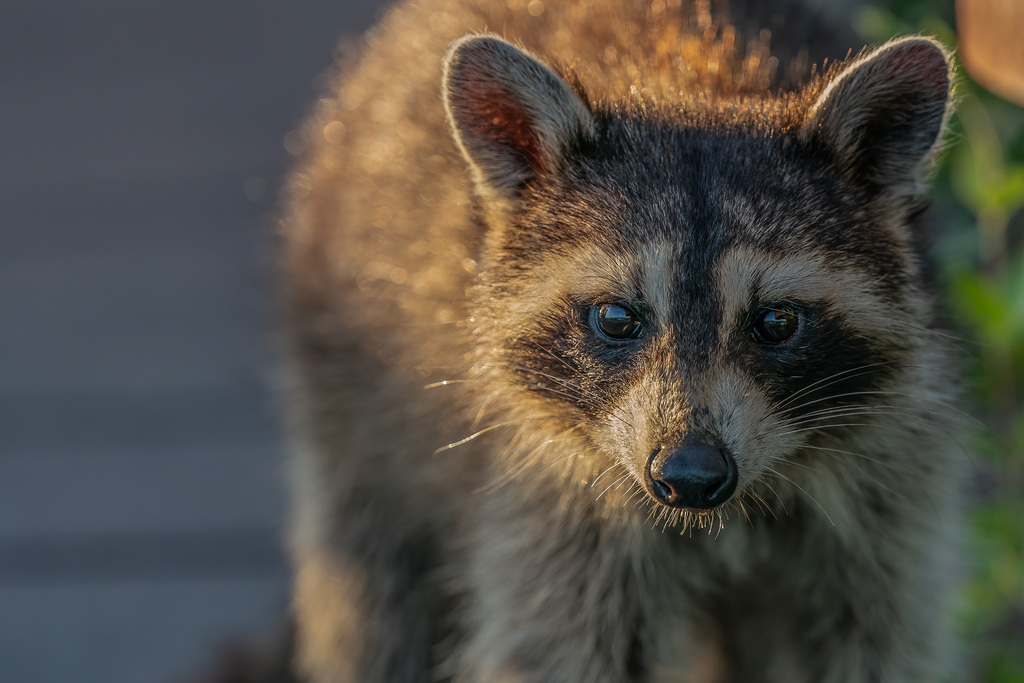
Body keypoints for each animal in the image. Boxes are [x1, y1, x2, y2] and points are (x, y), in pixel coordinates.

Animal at [281, 0, 963, 681]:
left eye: (775, 322)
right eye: (615, 318)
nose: (690, 474)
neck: (701, 82)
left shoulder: (887, 488)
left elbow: (882, 637)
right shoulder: (555, 505)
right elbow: (563, 648)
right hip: (350, 400)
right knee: (374, 591)